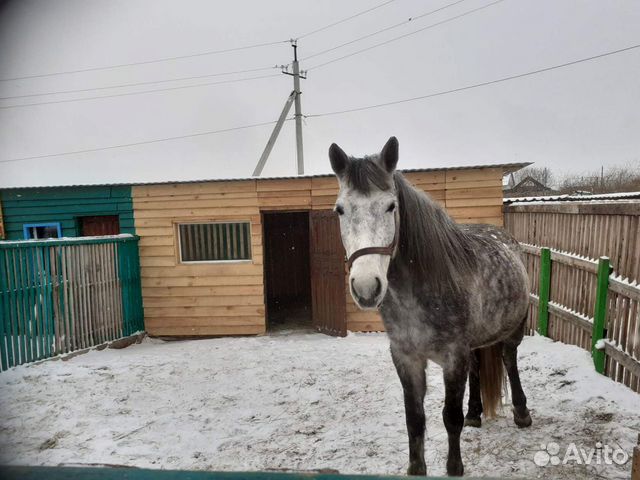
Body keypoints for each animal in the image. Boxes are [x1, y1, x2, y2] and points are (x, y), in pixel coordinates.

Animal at [328, 136, 532, 477]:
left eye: (391, 206)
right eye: (340, 210)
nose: (367, 287)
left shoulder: (453, 357)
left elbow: (450, 418)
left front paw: (454, 467)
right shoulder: (406, 357)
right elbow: (415, 420)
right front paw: (417, 467)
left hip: (513, 329)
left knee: (508, 359)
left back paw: (522, 412)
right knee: (478, 366)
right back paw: (475, 413)